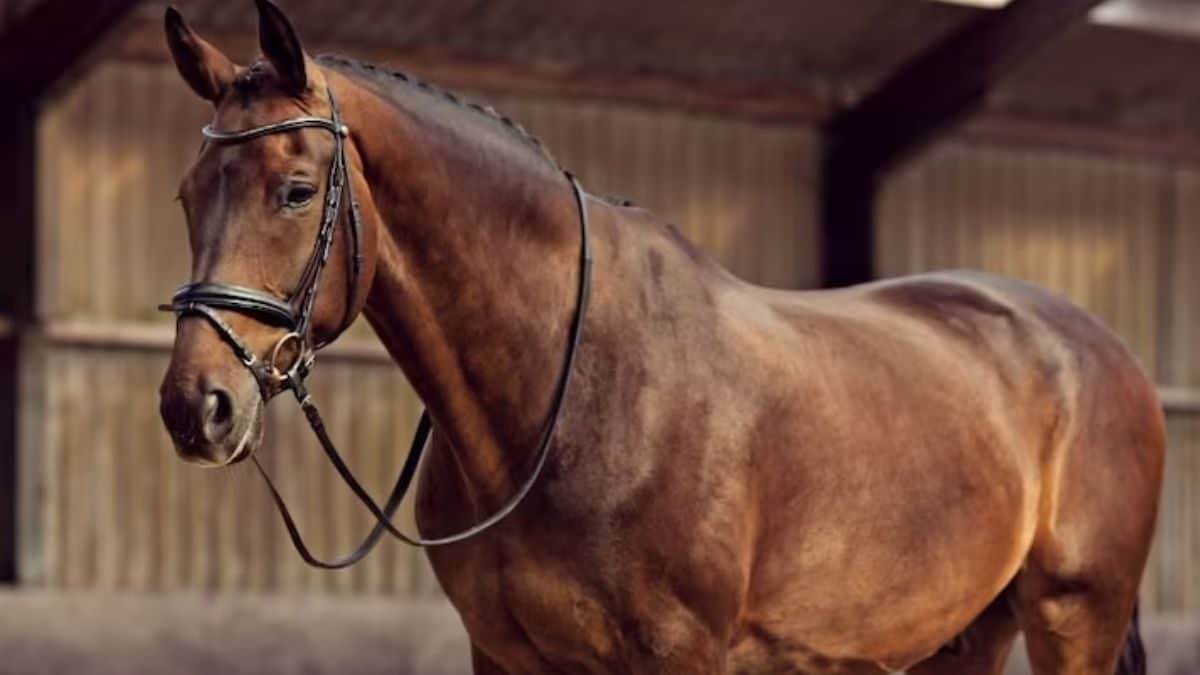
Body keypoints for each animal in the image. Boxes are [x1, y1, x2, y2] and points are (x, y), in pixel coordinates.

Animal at [157, 2, 1164, 673]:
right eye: (187, 193)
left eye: (294, 189)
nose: (196, 407)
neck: (566, 399)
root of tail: (1099, 348)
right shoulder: (506, 655)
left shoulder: (679, 652)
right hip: (961, 633)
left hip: (1074, 613)